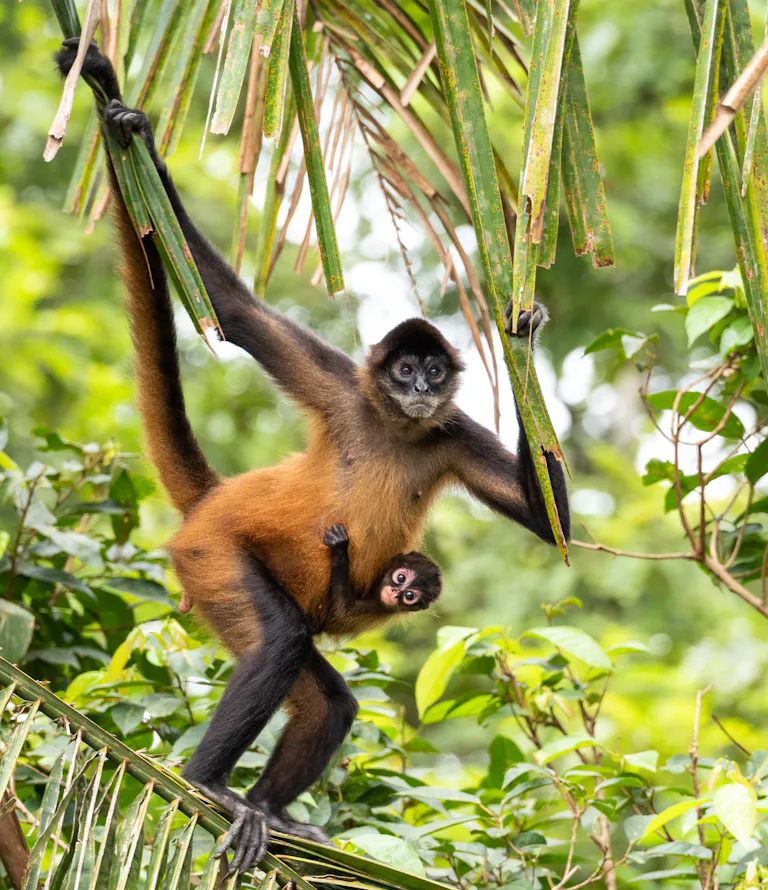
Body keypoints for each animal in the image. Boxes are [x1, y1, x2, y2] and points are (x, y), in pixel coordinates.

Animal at [56, 39, 570, 872]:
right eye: (404, 368)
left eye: (434, 374)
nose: (419, 385)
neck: (396, 428)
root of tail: (215, 496)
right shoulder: (341, 387)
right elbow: (232, 314)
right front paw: (128, 116)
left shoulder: (453, 431)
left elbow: (545, 519)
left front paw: (524, 334)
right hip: (214, 555)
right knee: (281, 642)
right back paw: (207, 783)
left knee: (328, 696)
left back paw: (269, 809)